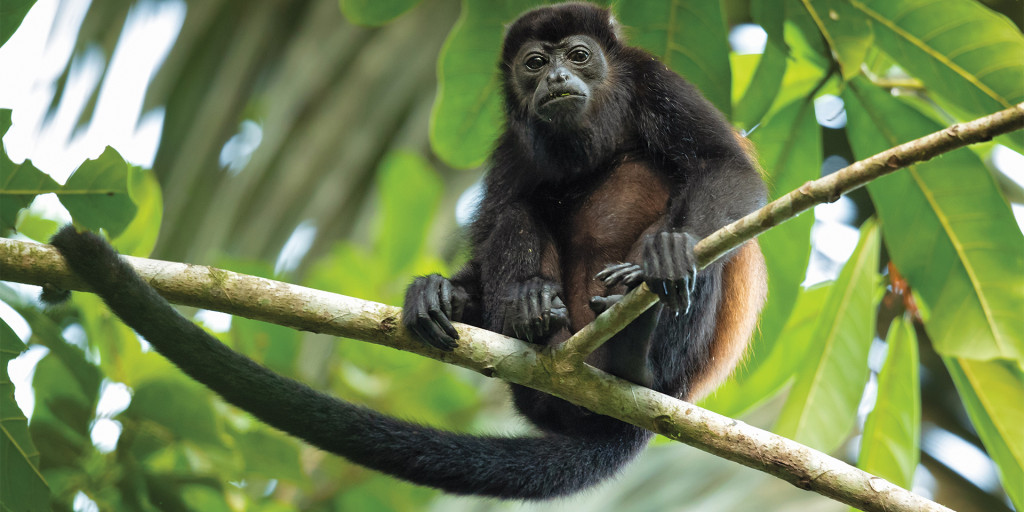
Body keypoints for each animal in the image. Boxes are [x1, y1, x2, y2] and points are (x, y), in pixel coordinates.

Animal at [45, 2, 767, 500]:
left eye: (580, 55)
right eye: (535, 63)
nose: (558, 74)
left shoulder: (654, 80)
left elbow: (728, 169)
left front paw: (670, 250)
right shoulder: (511, 137)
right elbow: (501, 214)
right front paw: (450, 291)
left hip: (678, 364)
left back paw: (635, 345)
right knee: (521, 211)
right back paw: (524, 313)